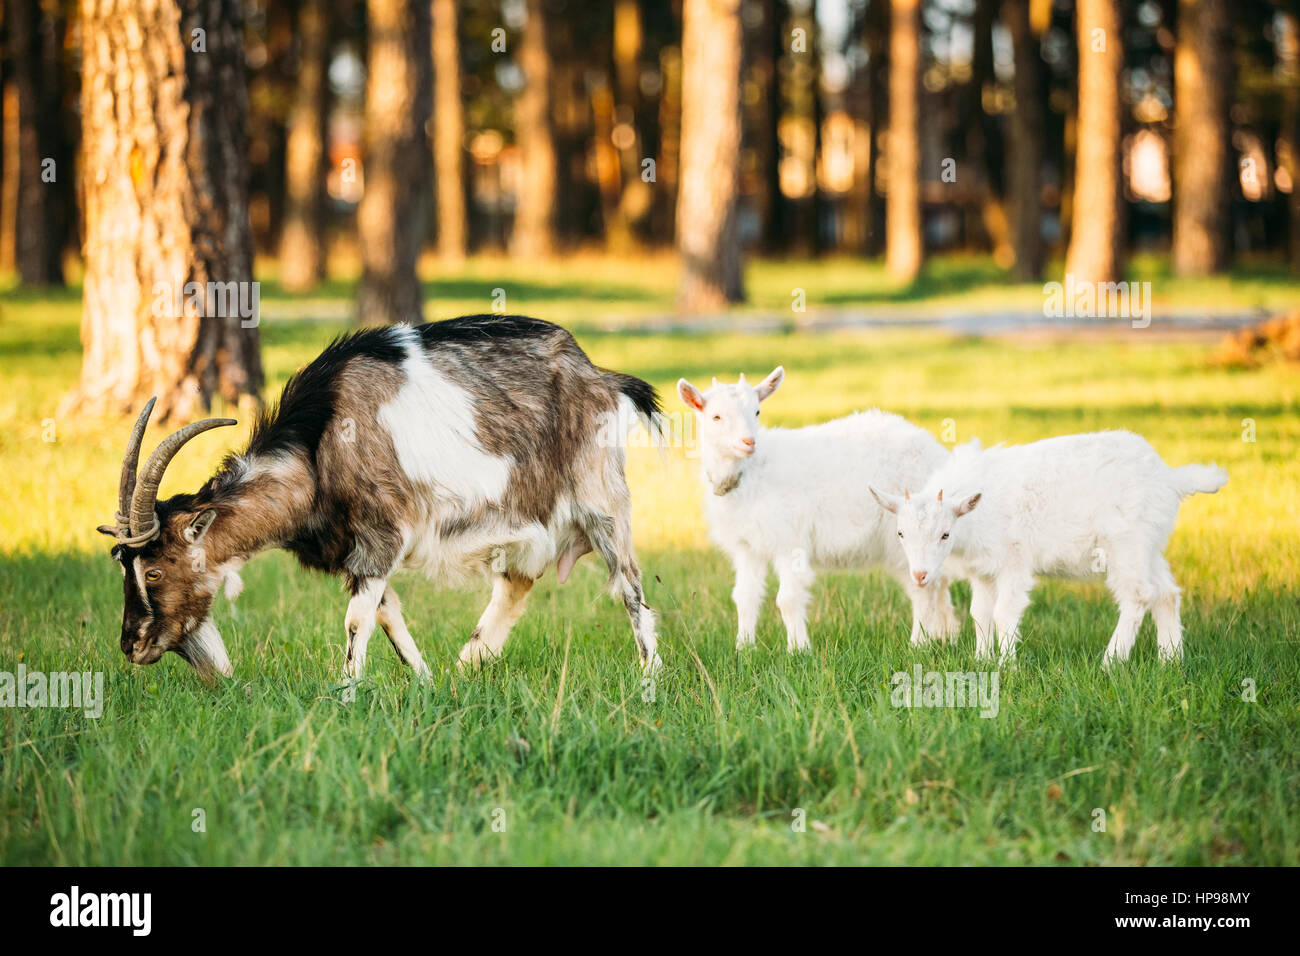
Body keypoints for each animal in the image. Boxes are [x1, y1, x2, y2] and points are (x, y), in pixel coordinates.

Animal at [98, 315, 663, 681]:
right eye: (122, 566)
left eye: (153, 570)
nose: (131, 644)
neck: (320, 446)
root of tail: (598, 376)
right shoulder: (360, 551)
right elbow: (388, 615)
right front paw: (426, 683)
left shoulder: (380, 536)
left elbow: (357, 620)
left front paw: (343, 695)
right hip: (531, 522)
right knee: (518, 583)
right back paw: (467, 665)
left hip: (601, 500)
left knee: (630, 585)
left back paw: (648, 683)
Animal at [676, 368, 960, 652]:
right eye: (716, 416)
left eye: (757, 411)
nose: (748, 442)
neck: (751, 472)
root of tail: (937, 453)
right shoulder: (747, 546)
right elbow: (745, 597)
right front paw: (743, 648)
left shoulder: (789, 539)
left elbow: (787, 598)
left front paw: (798, 650)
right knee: (938, 583)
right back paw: (946, 635)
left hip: (912, 533)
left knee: (923, 586)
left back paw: (918, 643)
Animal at [870, 433, 1228, 667]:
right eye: (901, 533)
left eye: (945, 534)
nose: (920, 575)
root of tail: (1170, 479)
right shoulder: (983, 570)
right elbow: (980, 614)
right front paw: (982, 660)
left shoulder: (1014, 561)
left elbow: (1003, 613)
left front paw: (1007, 666)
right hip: (1150, 546)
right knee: (1166, 593)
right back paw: (1171, 660)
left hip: (1127, 544)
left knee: (1139, 595)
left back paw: (1110, 663)